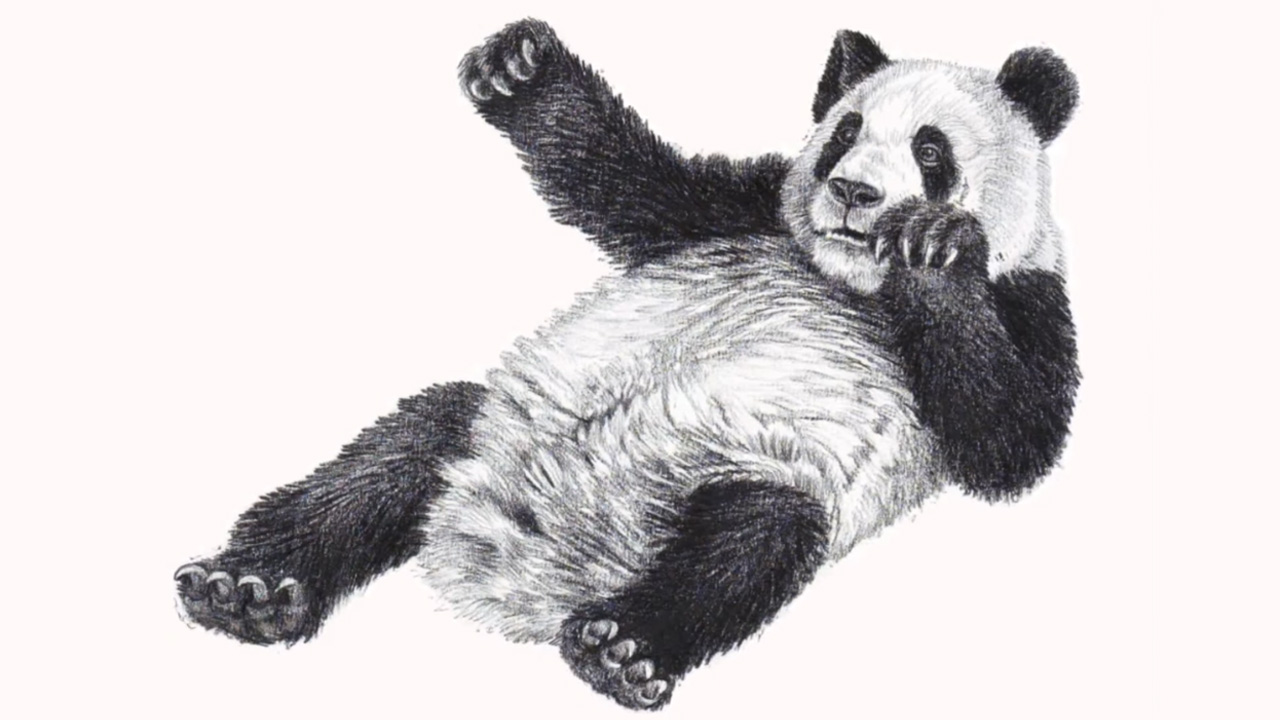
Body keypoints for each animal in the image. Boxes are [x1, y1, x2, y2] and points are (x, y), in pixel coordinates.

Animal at [174, 18, 1079, 712]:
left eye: (931, 151)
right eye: (844, 135)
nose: (856, 193)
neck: (847, 277)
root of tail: (506, 565)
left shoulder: (1031, 302)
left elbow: (1009, 439)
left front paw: (932, 244)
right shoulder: (742, 209)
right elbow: (625, 180)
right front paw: (519, 66)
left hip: (737, 475)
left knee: (750, 542)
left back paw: (621, 650)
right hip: (492, 425)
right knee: (393, 454)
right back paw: (249, 590)